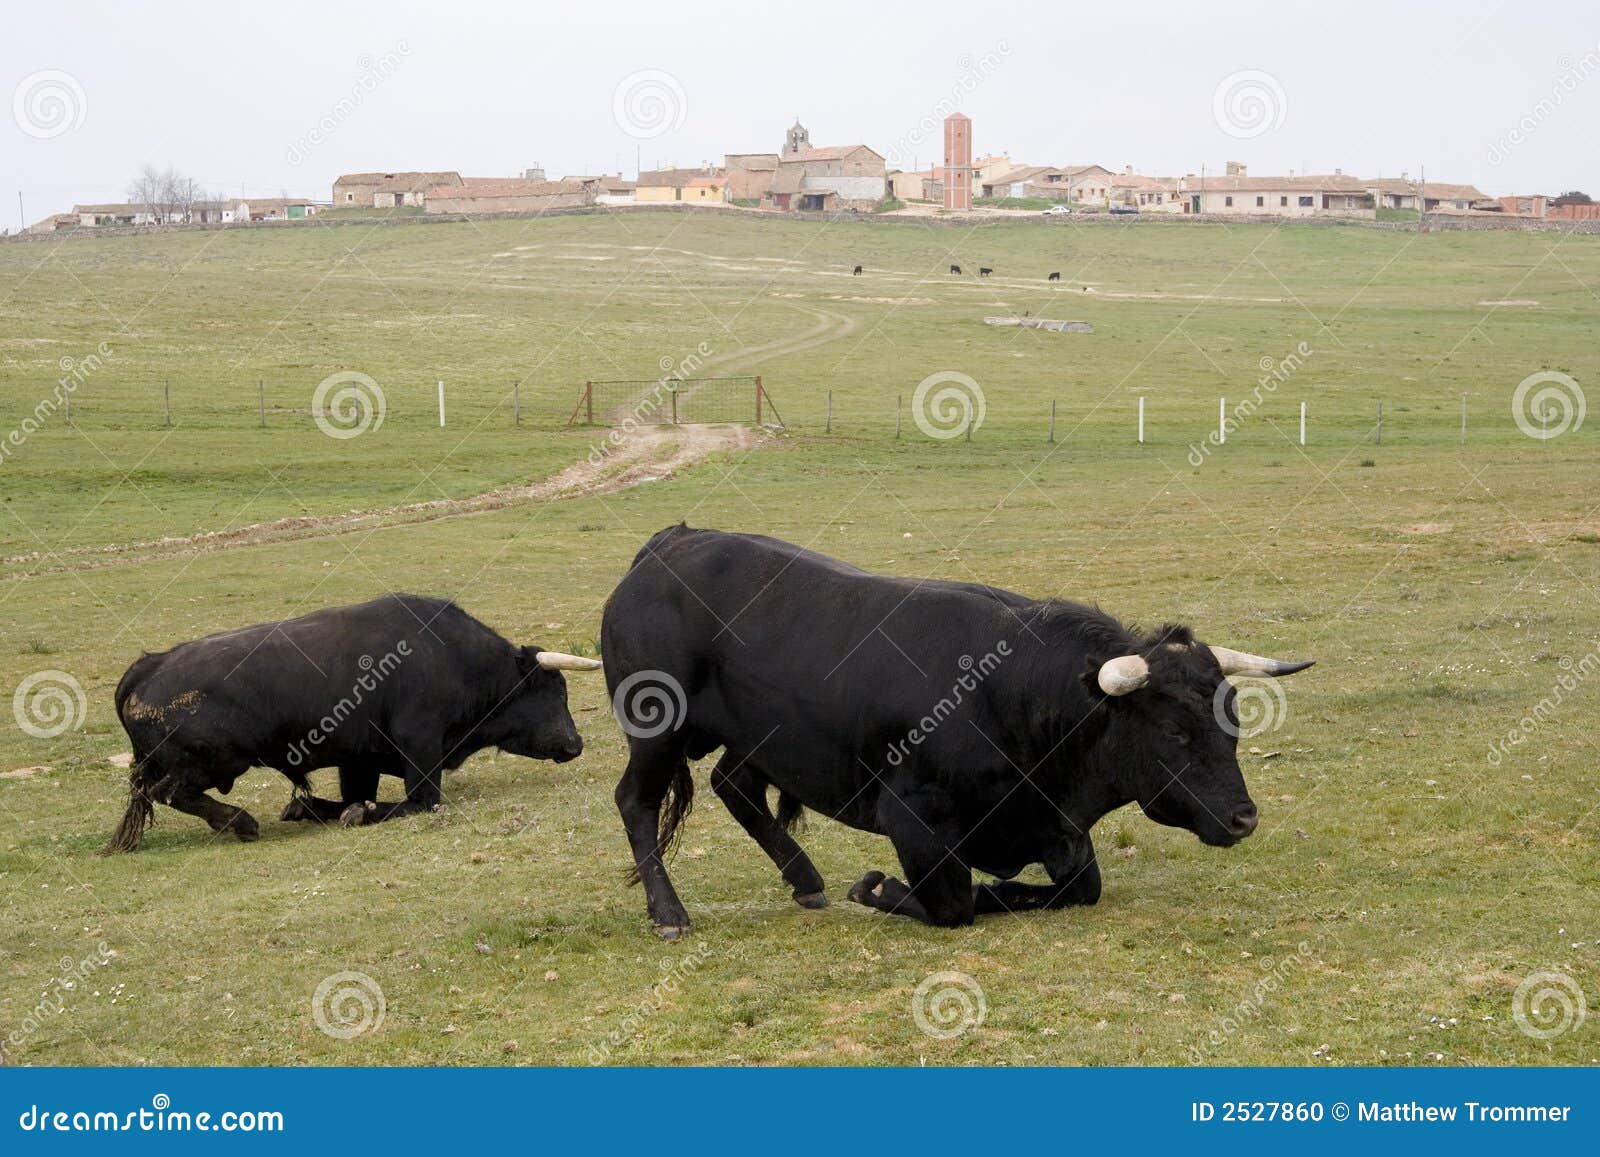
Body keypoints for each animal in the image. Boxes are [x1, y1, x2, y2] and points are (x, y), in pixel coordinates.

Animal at [104, 594, 602, 852]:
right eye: (555, 692)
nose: (575, 744)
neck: (455, 659)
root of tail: (151, 663)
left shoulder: (358, 760)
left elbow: (346, 796)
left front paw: (308, 808)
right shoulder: (422, 751)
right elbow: (417, 803)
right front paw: (358, 813)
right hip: (214, 762)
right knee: (171, 793)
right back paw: (238, 821)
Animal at [600, 526, 1312, 938]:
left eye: (1232, 723)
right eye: (1174, 733)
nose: (1244, 817)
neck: (1014, 697)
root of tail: (666, 546)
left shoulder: (1057, 829)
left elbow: (1077, 889)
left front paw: (1007, 888)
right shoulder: (911, 816)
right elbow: (952, 904)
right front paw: (883, 889)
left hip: (759, 737)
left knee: (735, 784)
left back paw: (804, 880)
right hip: (657, 731)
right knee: (636, 801)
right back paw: (669, 914)